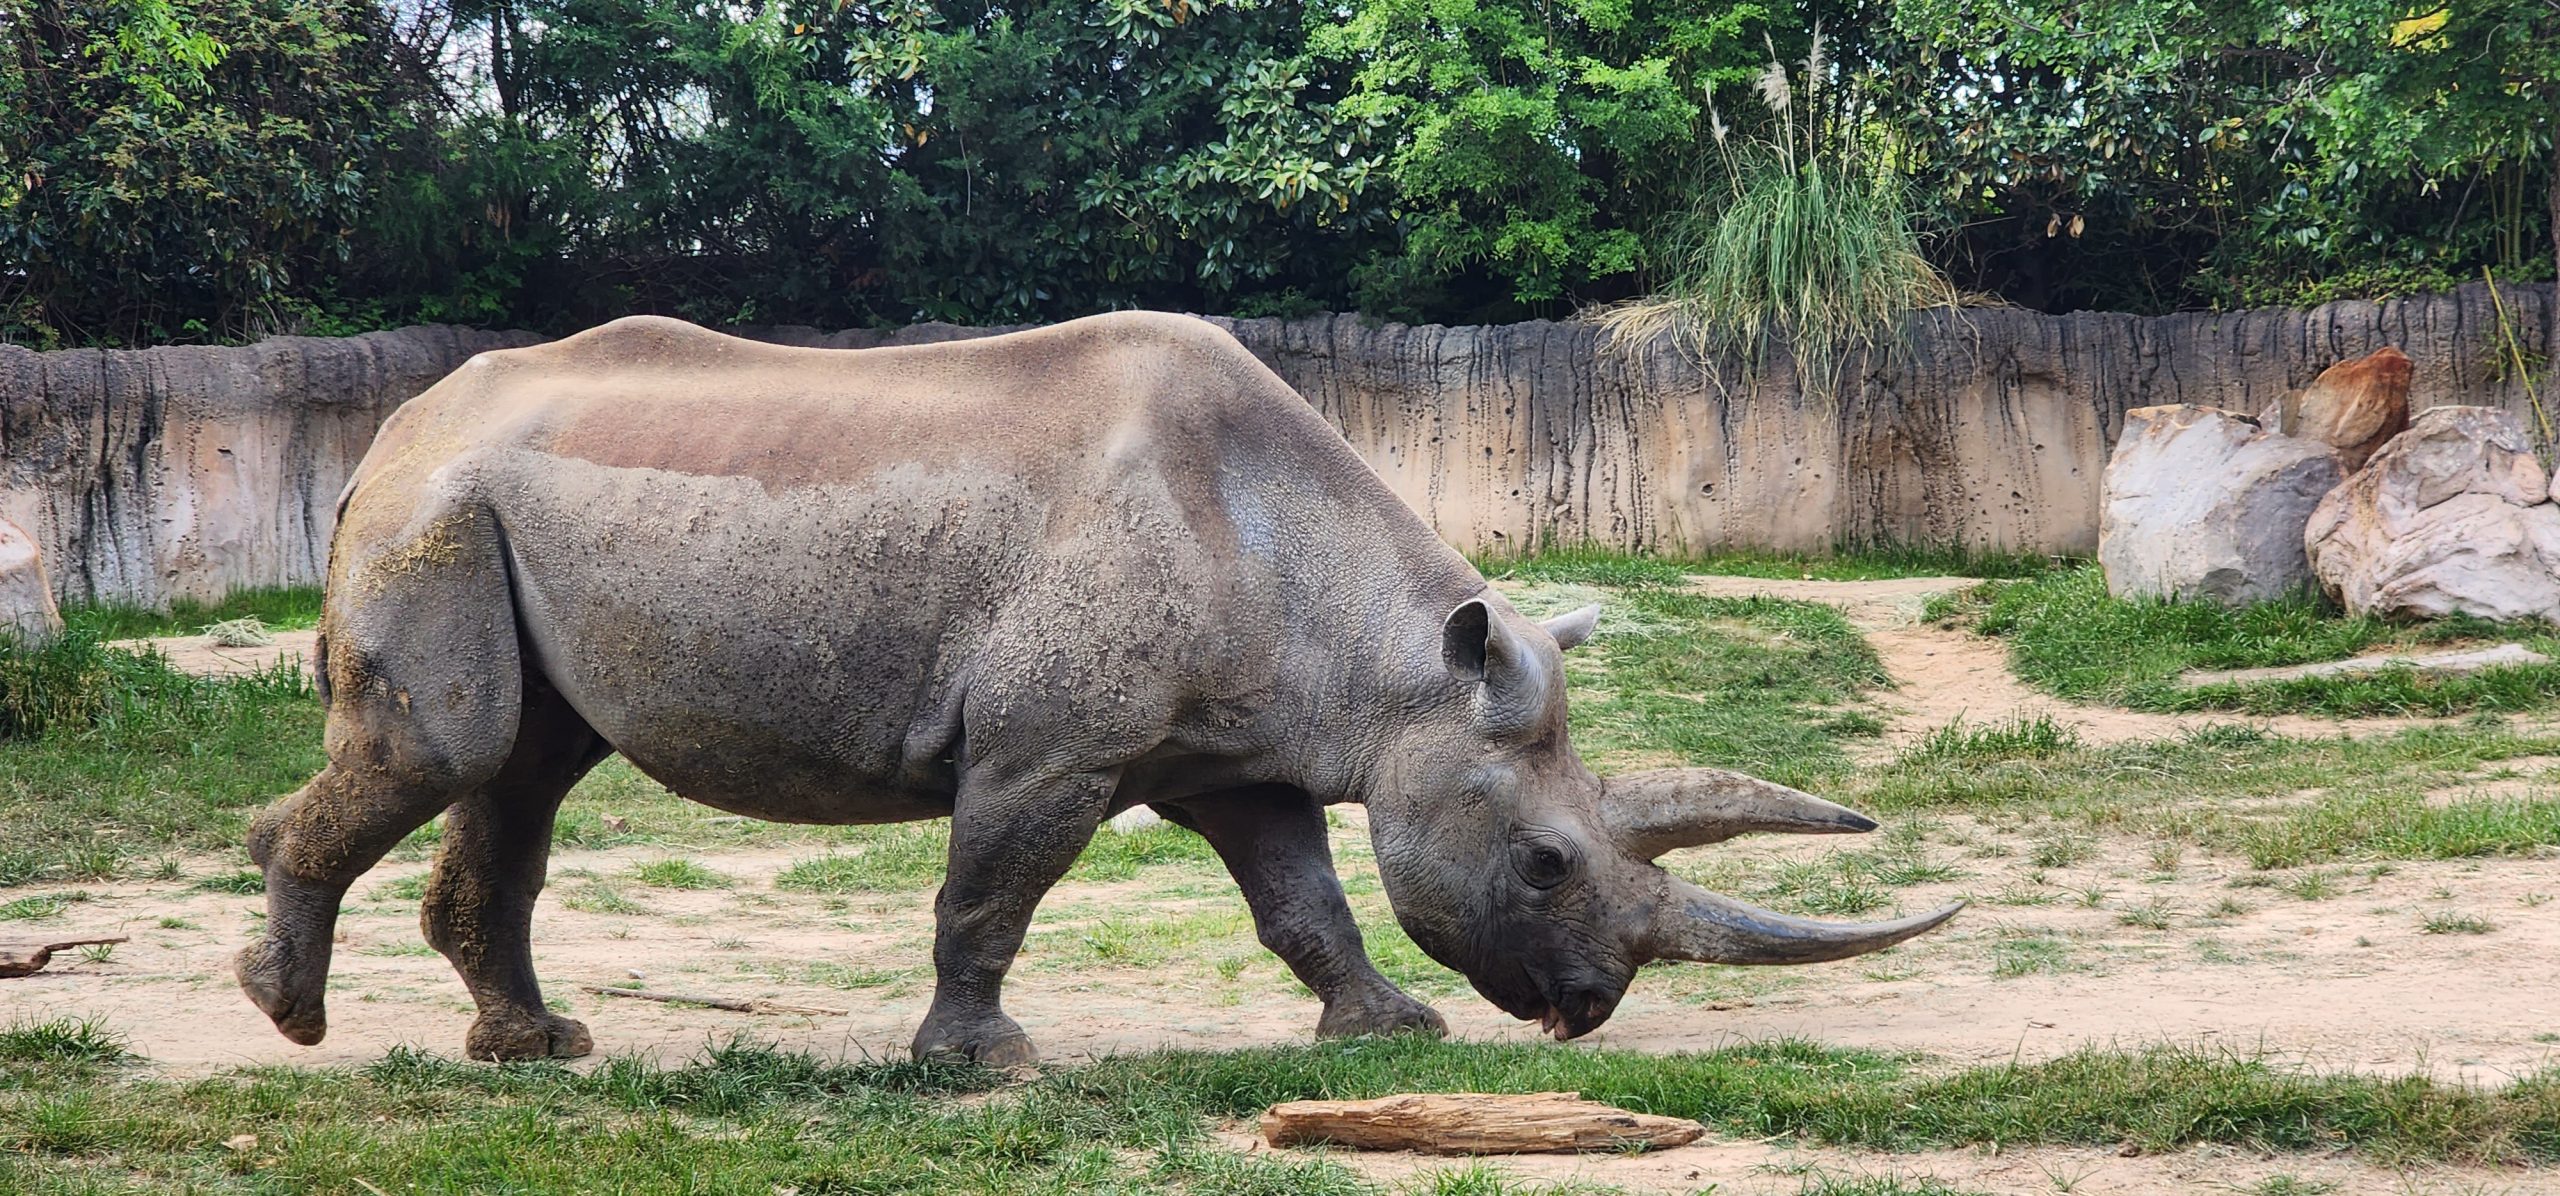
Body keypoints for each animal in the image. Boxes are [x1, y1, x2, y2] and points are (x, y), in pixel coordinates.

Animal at [235, 312, 1959, 1064]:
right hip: (436, 510)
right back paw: (295, 1016)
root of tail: (385, 433)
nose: (1590, 1008)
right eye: (1543, 862)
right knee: (460, 747)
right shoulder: (1047, 749)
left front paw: (1386, 1034)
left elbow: (1302, 899)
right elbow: (988, 893)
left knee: (523, 766)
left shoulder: (1246, 750)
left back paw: (536, 1048)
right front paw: (974, 1067)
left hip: (491, 505)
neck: (1387, 661)